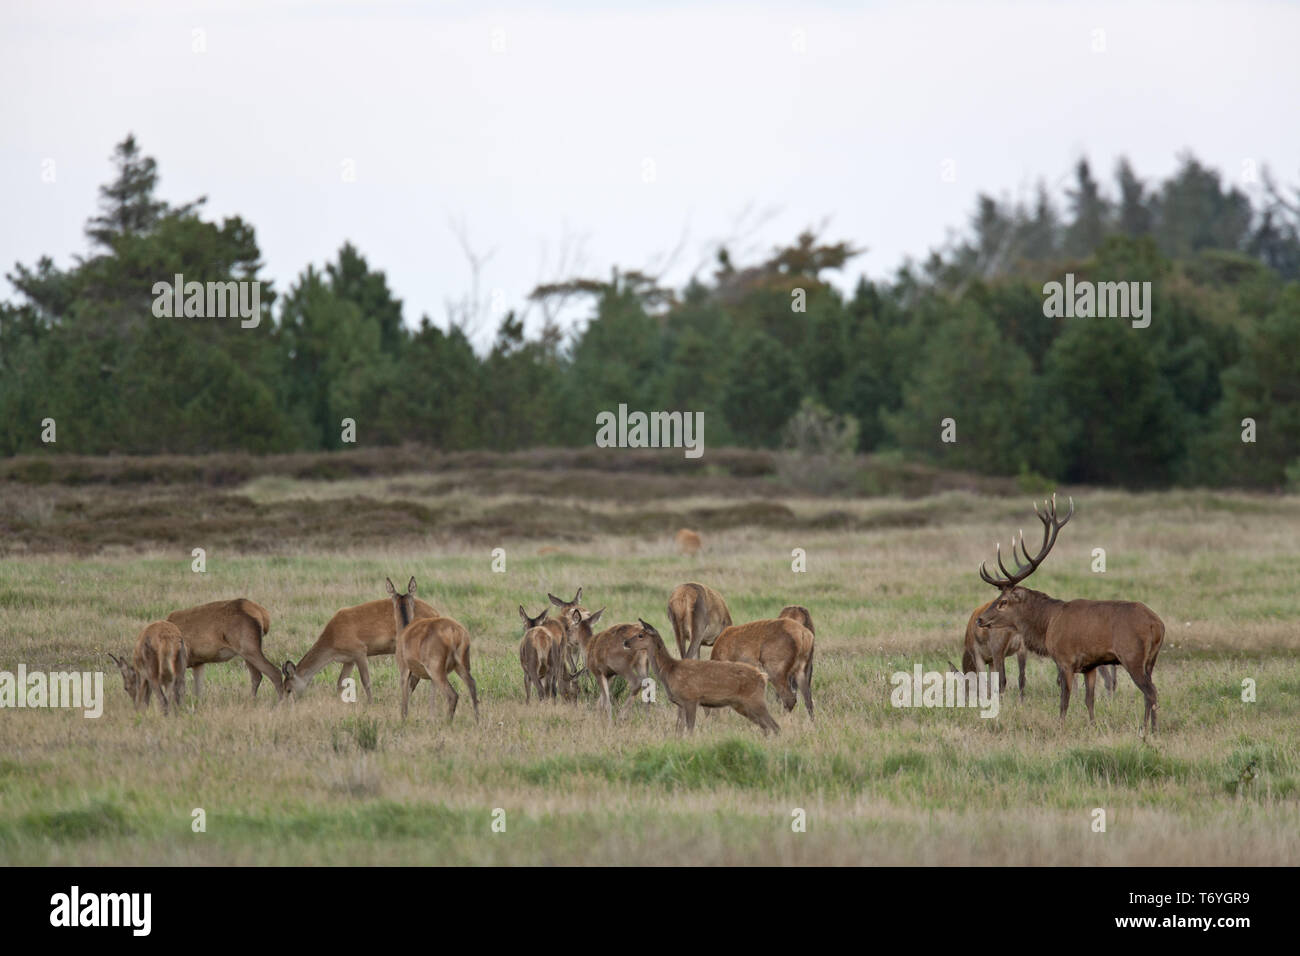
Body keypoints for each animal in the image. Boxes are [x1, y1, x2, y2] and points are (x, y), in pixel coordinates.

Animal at [282, 580, 439, 703]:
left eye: (288, 689)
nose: (284, 705)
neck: (332, 640)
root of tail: (436, 613)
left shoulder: (360, 651)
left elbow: (366, 681)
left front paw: (371, 703)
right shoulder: (348, 659)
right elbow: (340, 682)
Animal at [387, 577, 479, 722]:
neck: (403, 630)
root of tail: (454, 634)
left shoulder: (404, 667)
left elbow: (405, 695)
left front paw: (403, 719)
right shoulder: (427, 676)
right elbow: (431, 696)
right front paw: (431, 719)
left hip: (436, 666)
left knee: (452, 695)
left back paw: (448, 722)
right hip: (462, 663)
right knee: (472, 684)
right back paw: (477, 720)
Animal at [622, 619, 780, 735]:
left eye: (640, 635)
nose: (625, 642)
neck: (670, 670)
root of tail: (763, 677)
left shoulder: (691, 698)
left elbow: (690, 729)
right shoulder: (682, 703)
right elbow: (683, 728)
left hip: (755, 700)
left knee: (775, 726)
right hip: (742, 705)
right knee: (767, 727)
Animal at [975, 495, 1165, 734]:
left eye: (1003, 602)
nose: (980, 619)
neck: (1047, 624)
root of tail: (1157, 625)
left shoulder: (1064, 659)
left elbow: (1064, 700)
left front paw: (1060, 728)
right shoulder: (1090, 666)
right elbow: (1089, 700)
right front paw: (1092, 726)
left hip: (1132, 655)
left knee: (1150, 692)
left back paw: (1148, 730)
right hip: (1151, 659)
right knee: (1151, 691)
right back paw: (1151, 728)